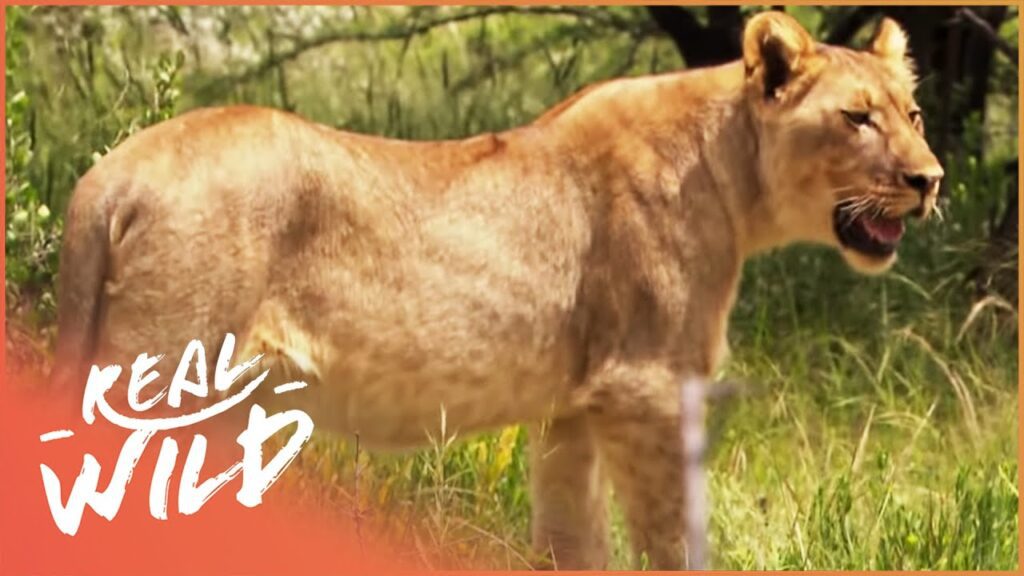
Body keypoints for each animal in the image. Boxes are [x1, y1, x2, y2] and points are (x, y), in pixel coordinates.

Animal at [53, 12, 942, 569]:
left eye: (913, 113)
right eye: (857, 118)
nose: (930, 179)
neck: (732, 170)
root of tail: (109, 177)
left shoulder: (577, 407)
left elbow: (572, 541)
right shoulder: (647, 387)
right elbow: (671, 539)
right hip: (165, 376)